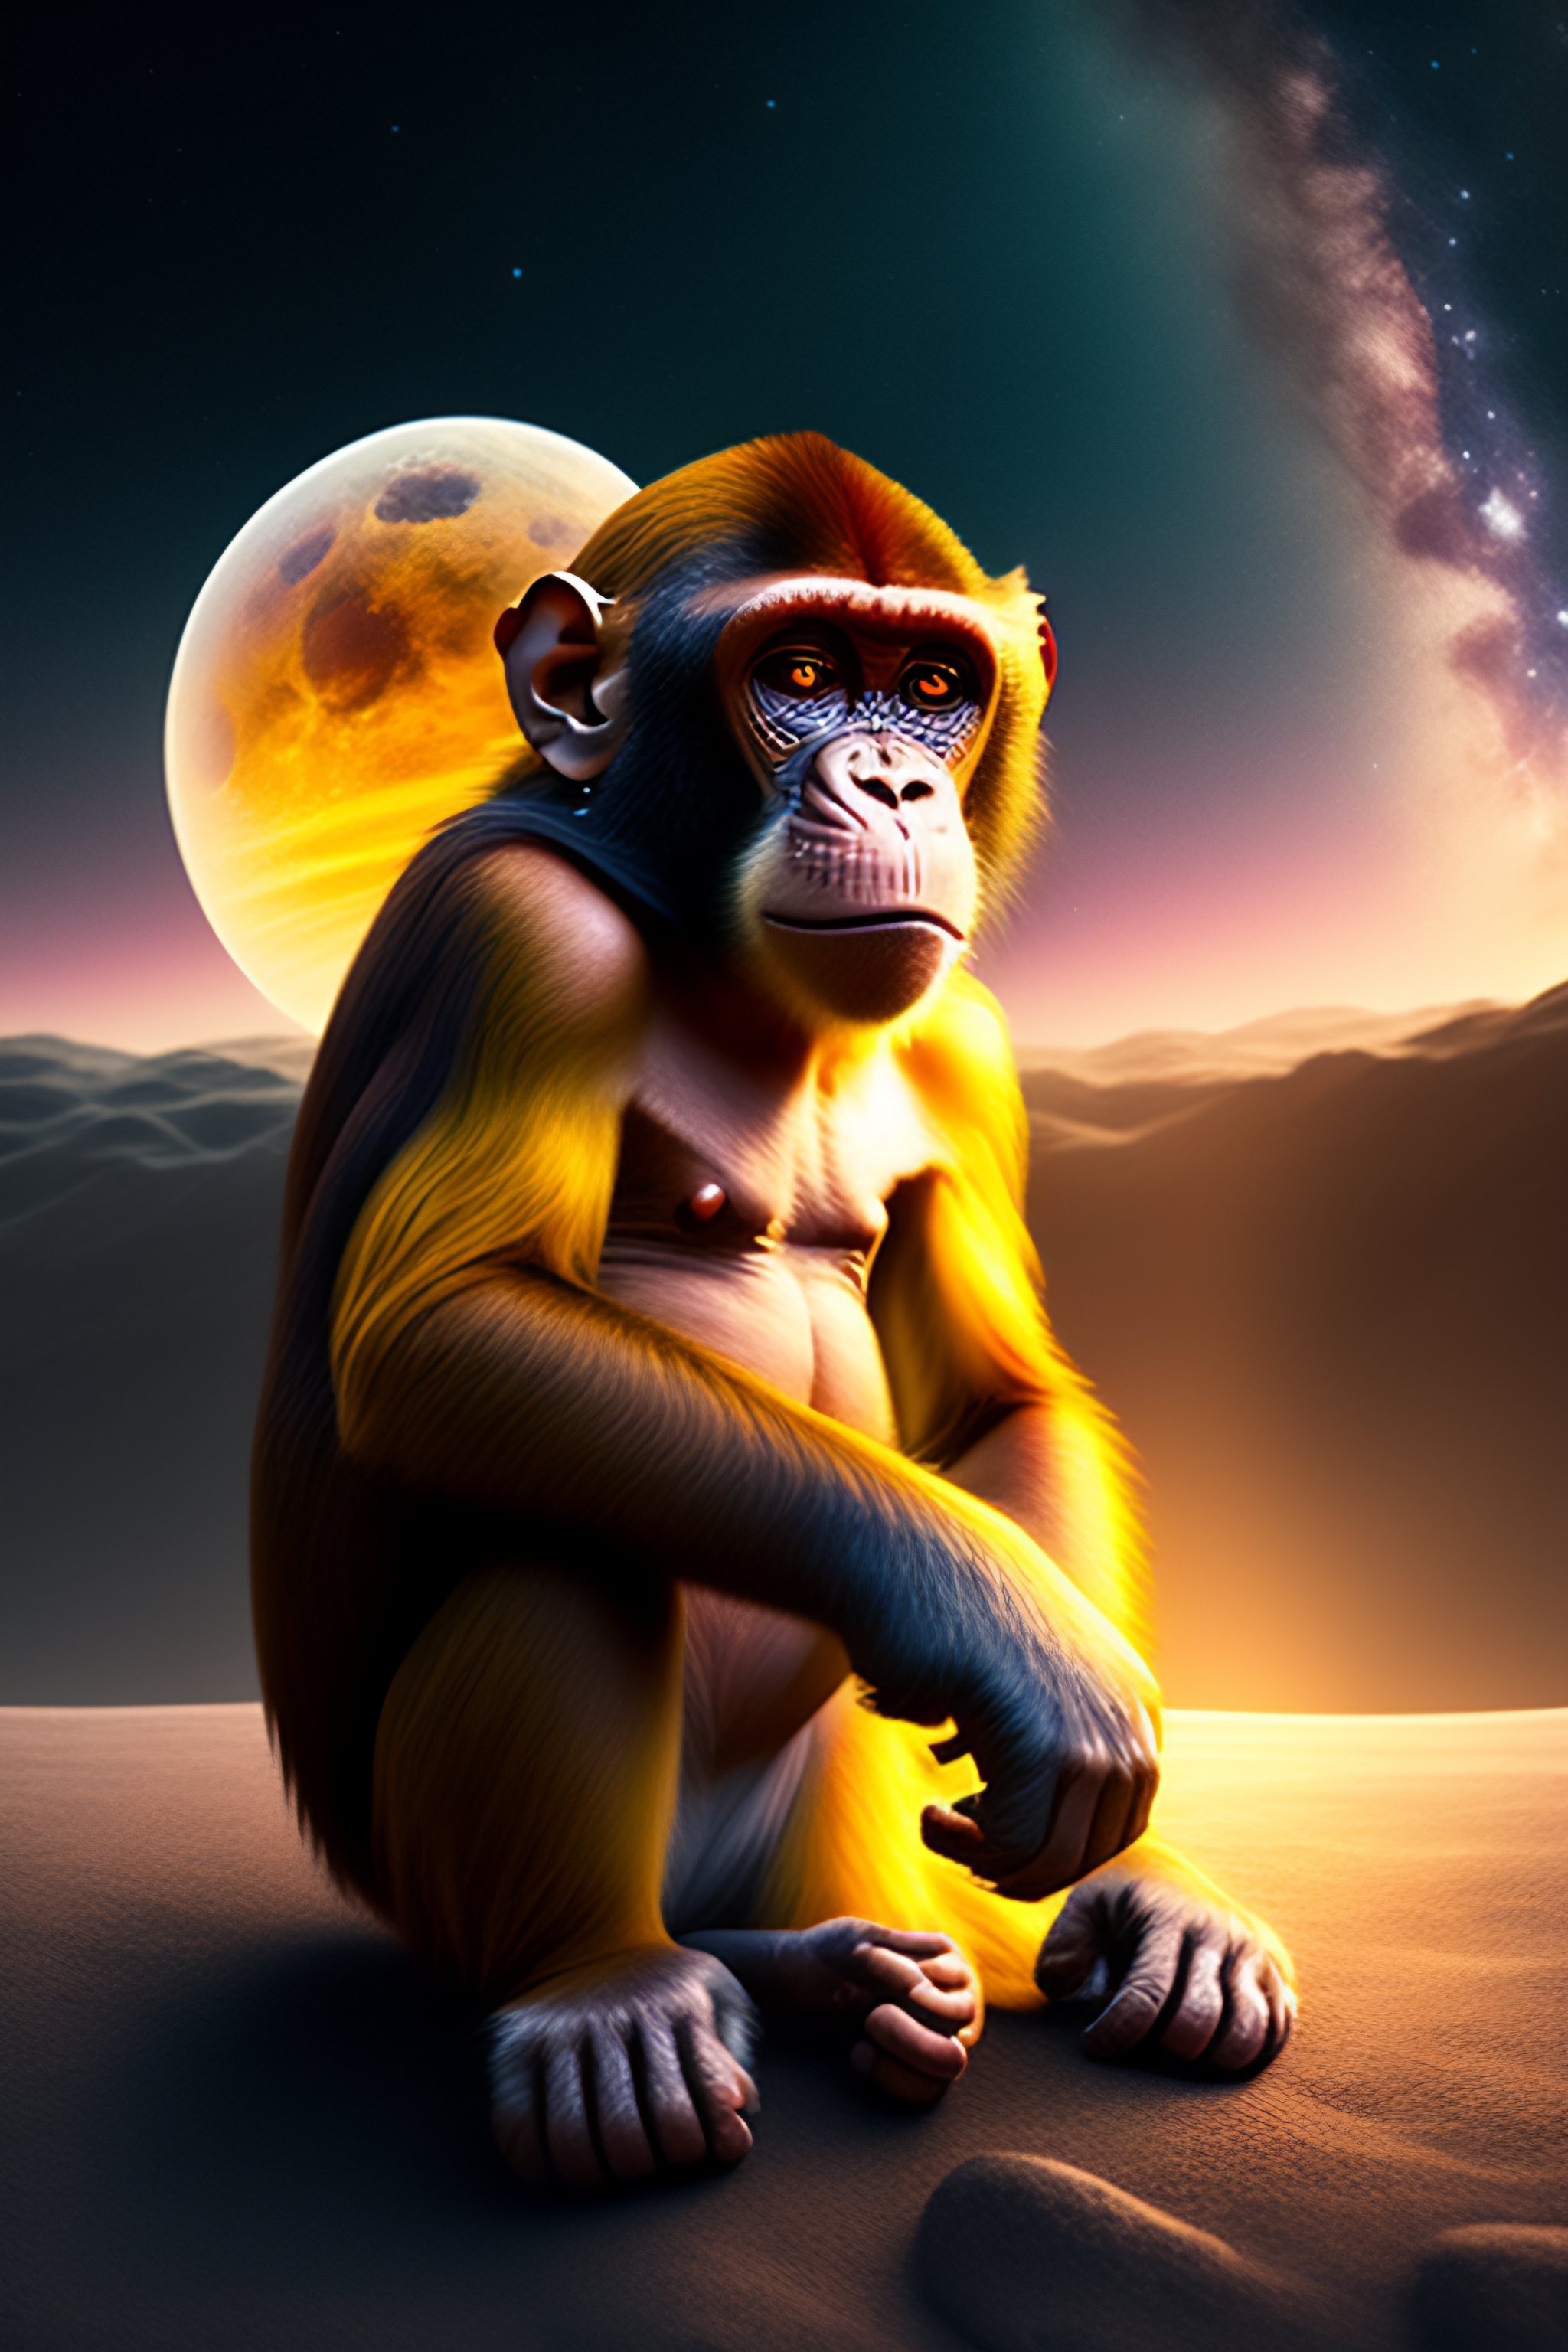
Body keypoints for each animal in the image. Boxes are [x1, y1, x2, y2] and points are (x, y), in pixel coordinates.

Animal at [252, 432, 1295, 2191]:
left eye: (933, 685)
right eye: (799, 673)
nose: (890, 780)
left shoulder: (971, 1048)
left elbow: (1000, 1400)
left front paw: (1140, 1873)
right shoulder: (516, 941)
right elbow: (443, 1324)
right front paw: (1017, 1641)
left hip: (829, 1819)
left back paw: (847, 1976)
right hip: (436, 1894)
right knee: (562, 1516)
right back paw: (610, 1994)